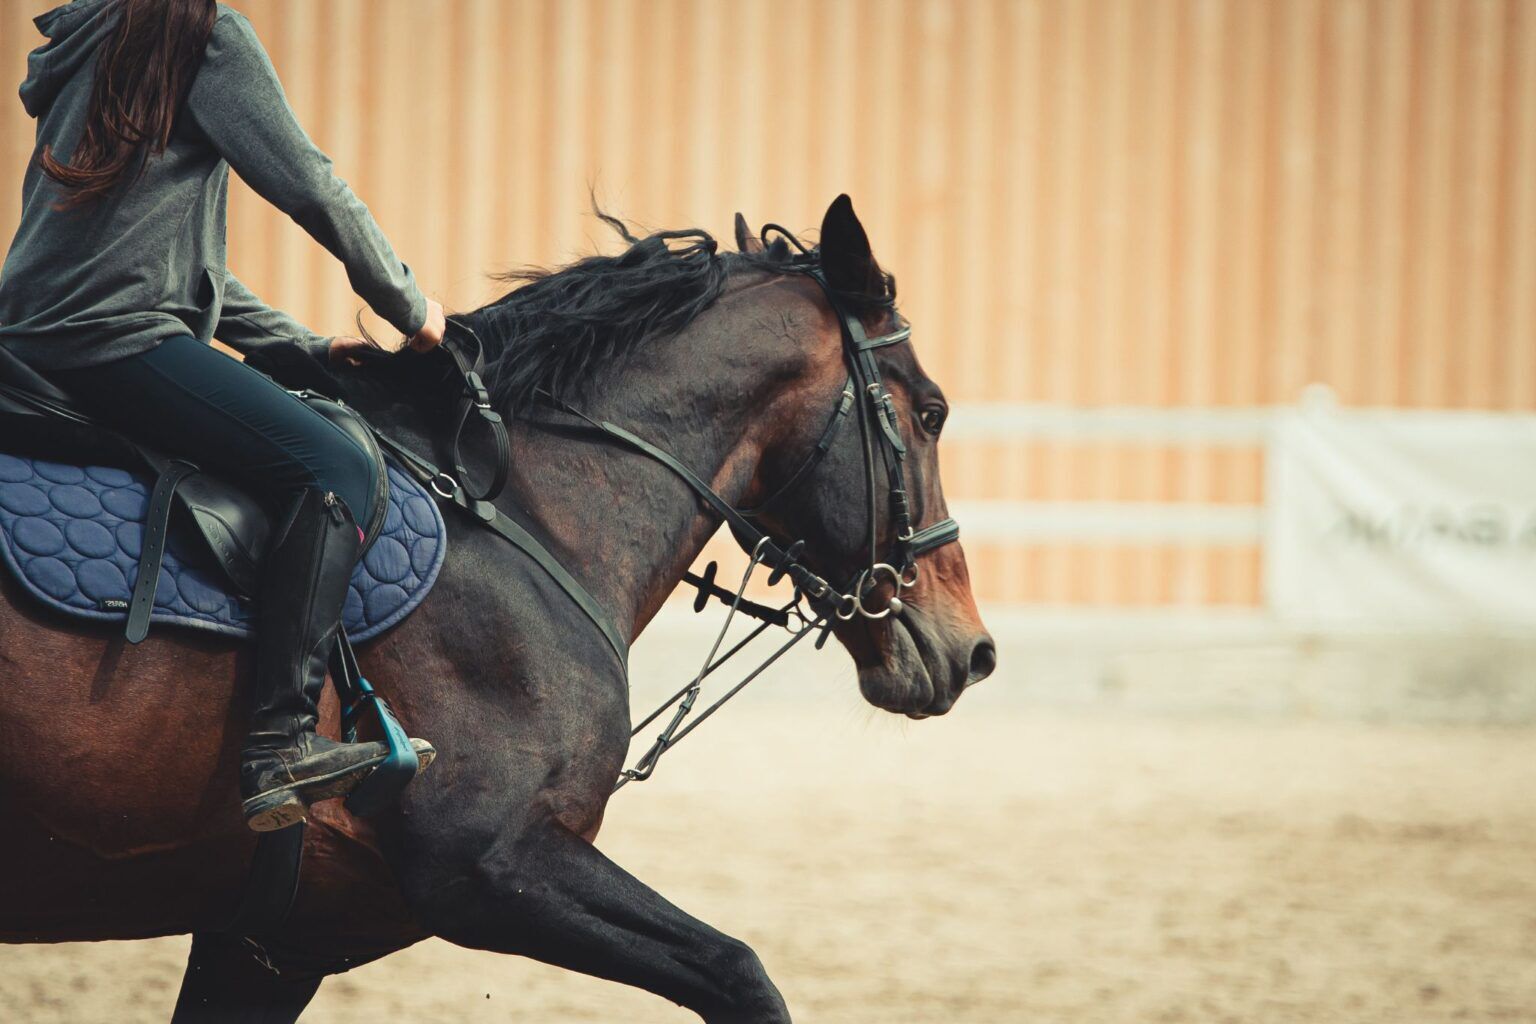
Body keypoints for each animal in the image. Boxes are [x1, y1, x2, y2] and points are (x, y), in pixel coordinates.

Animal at [0, 195, 994, 1023]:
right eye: (932, 412)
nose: (974, 651)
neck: (526, 514)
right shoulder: (492, 869)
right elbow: (740, 973)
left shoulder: (275, 940)